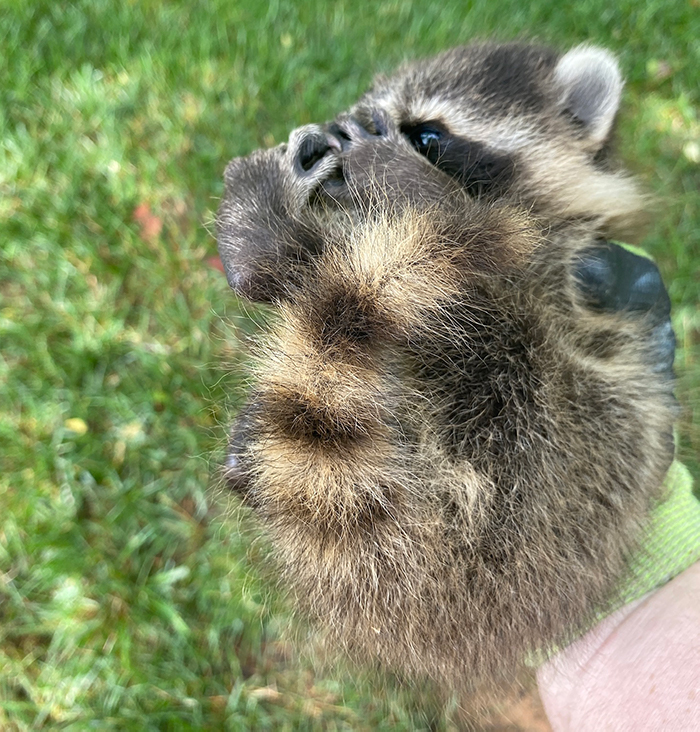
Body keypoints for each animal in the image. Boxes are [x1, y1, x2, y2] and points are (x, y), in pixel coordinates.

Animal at [215, 42, 677, 692]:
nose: (320, 142)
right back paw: (264, 248)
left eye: (428, 135)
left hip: (574, 453)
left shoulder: (569, 274)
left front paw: (412, 183)